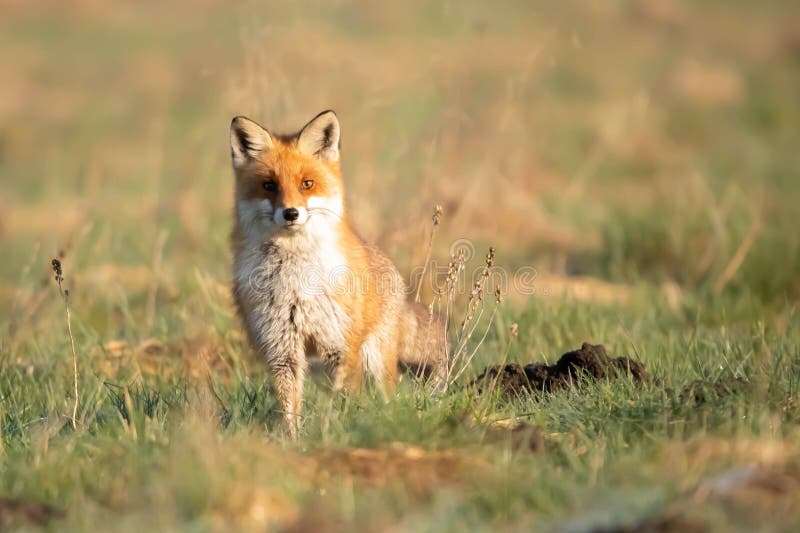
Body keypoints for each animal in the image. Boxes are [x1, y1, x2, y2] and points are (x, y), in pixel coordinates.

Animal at [229, 110, 448, 437]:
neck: (295, 282)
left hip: (374, 359)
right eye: (269, 185)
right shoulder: (283, 350)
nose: (291, 213)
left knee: (389, 395)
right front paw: (292, 441)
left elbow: (343, 402)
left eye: (307, 183)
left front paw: (338, 431)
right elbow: (289, 408)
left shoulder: (341, 348)